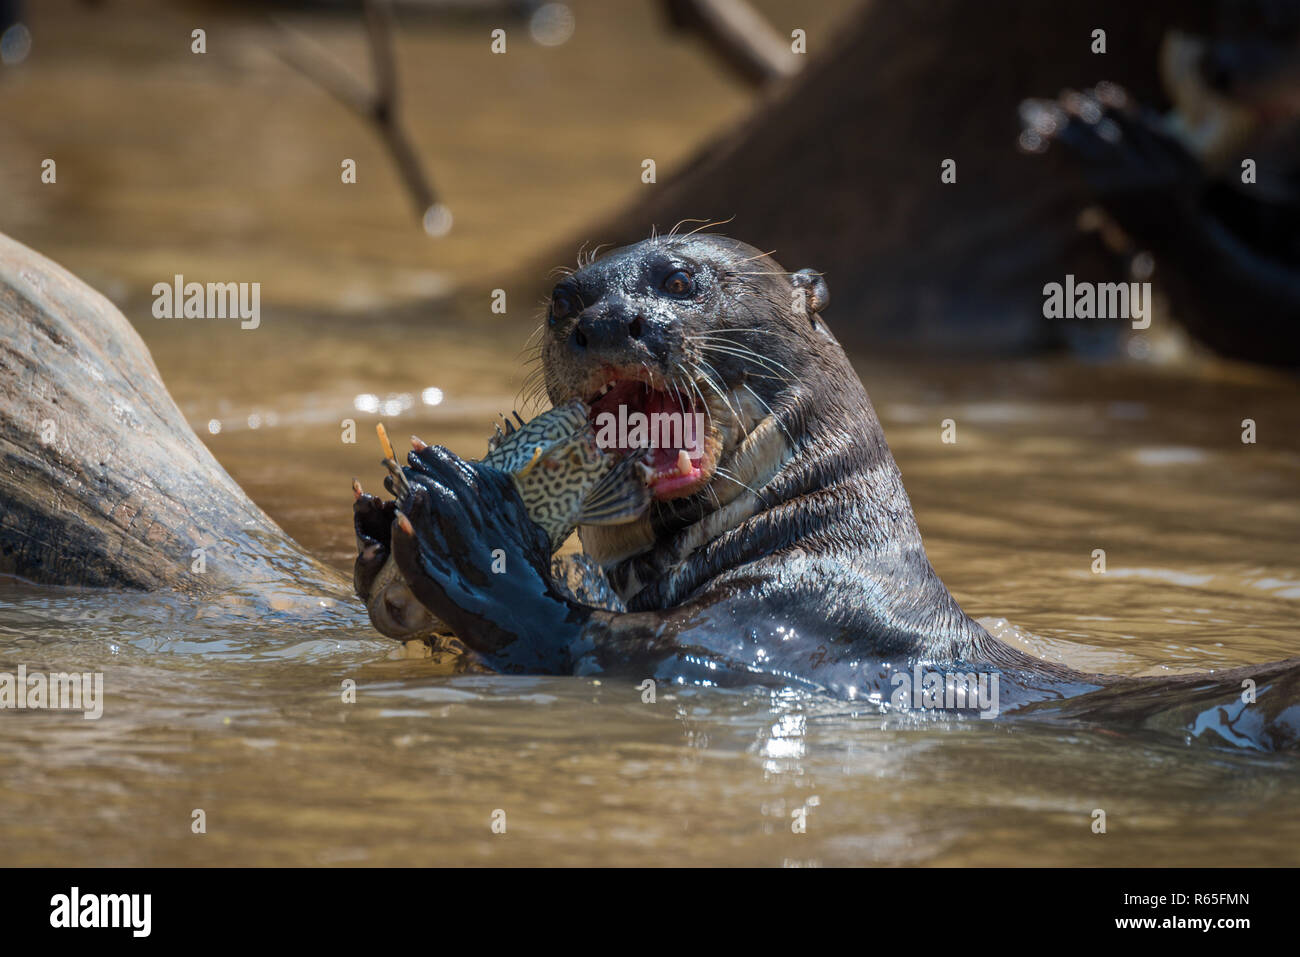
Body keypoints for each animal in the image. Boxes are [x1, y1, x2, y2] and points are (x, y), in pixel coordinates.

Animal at [361, 233, 1300, 745]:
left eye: (679, 280)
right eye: (562, 295)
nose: (597, 320)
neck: (812, 534)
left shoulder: (777, 625)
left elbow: (577, 637)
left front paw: (465, 522)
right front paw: (377, 526)